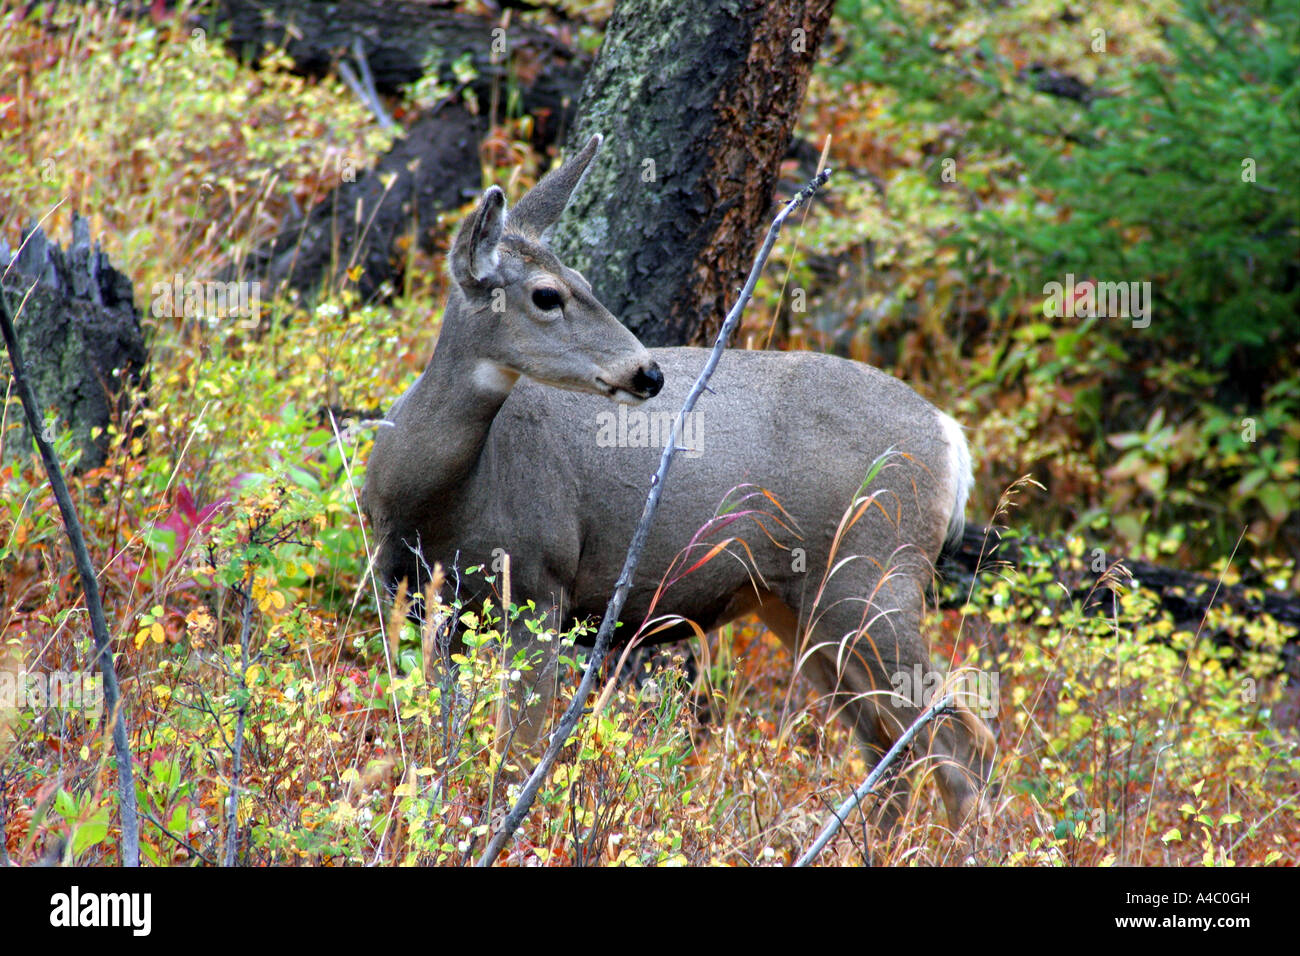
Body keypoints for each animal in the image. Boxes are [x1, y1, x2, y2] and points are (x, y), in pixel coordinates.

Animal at [362, 134, 995, 834]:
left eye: (587, 284)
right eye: (549, 294)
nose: (648, 372)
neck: (435, 499)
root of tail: (950, 437)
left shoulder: (537, 585)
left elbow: (517, 753)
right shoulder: (413, 597)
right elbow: (442, 743)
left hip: (874, 572)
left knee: (958, 735)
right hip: (798, 603)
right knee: (888, 745)